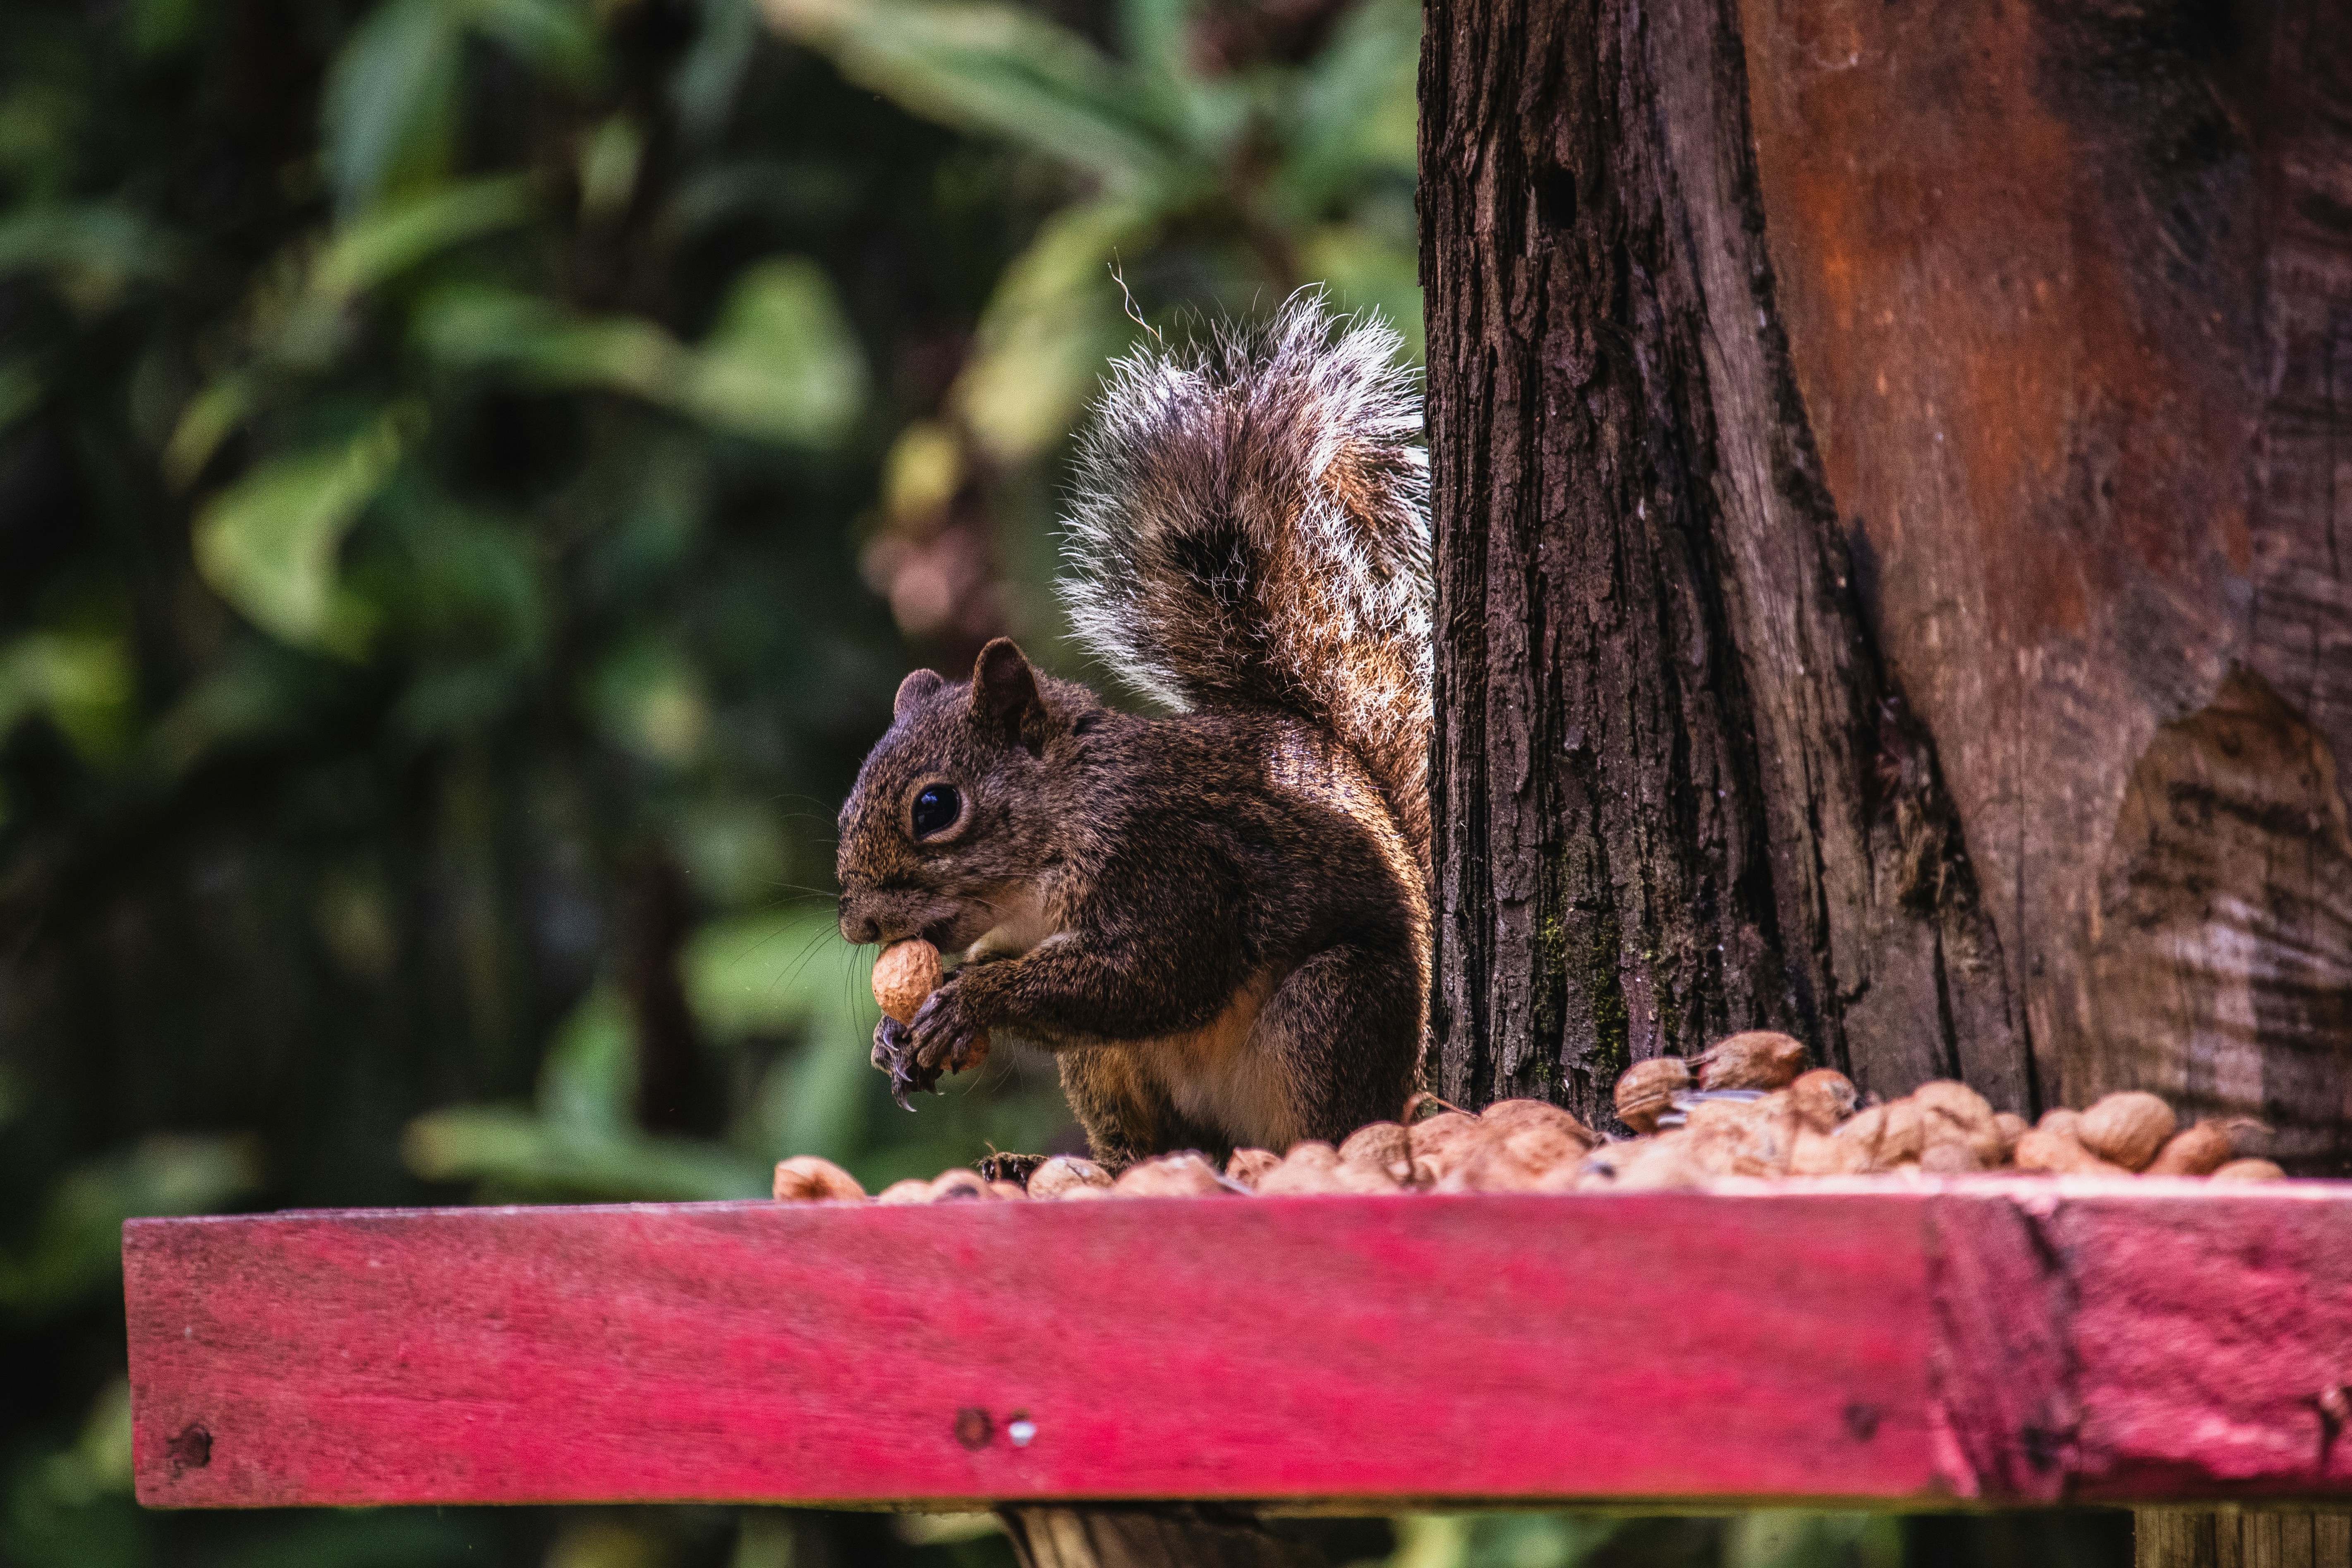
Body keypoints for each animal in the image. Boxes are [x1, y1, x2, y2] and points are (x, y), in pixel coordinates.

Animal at [834, 298, 1432, 1172]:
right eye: (846, 811)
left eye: (935, 807)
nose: (858, 926)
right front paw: (896, 1037)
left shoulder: (1172, 869)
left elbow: (1149, 978)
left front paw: (970, 1000)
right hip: (1108, 1070)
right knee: (1147, 1140)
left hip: (1332, 1009)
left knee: (1331, 1115)